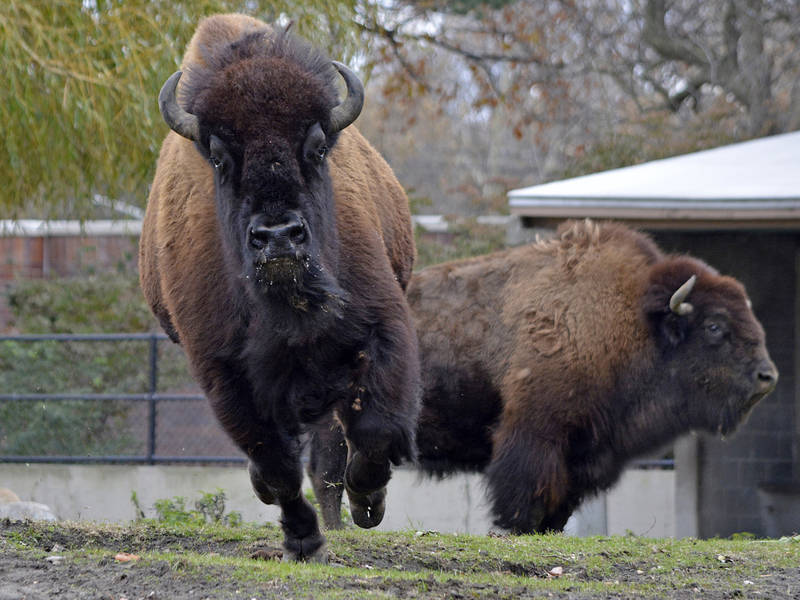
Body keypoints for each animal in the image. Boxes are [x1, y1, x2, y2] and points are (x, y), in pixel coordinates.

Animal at [139, 14, 420, 561]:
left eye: (317, 146)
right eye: (219, 157)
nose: (277, 237)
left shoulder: (382, 327)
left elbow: (374, 431)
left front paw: (367, 502)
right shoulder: (225, 374)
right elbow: (277, 464)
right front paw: (303, 540)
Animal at [310, 219, 778, 533]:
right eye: (715, 326)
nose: (767, 377)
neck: (626, 316)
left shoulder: (583, 455)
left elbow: (560, 505)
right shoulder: (535, 435)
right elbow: (525, 495)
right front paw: (515, 529)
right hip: (336, 431)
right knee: (329, 478)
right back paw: (338, 531)